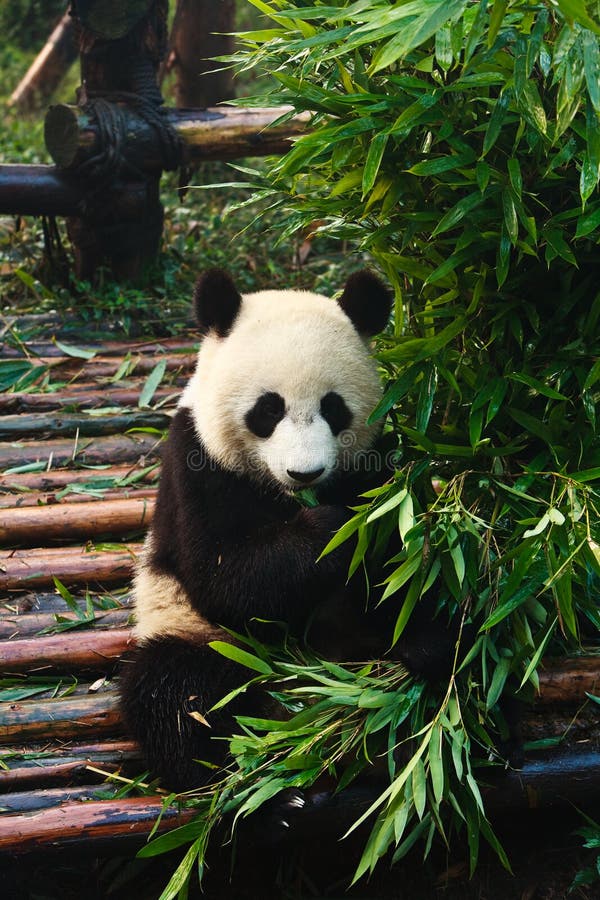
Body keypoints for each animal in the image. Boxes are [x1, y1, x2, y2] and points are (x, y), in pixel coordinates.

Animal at [120, 268, 451, 792]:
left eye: (333, 408)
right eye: (268, 410)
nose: (305, 473)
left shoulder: (379, 466)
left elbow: (396, 565)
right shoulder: (195, 464)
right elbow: (224, 577)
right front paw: (332, 528)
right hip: (194, 631)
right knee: (175, 695)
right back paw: (241, 777)